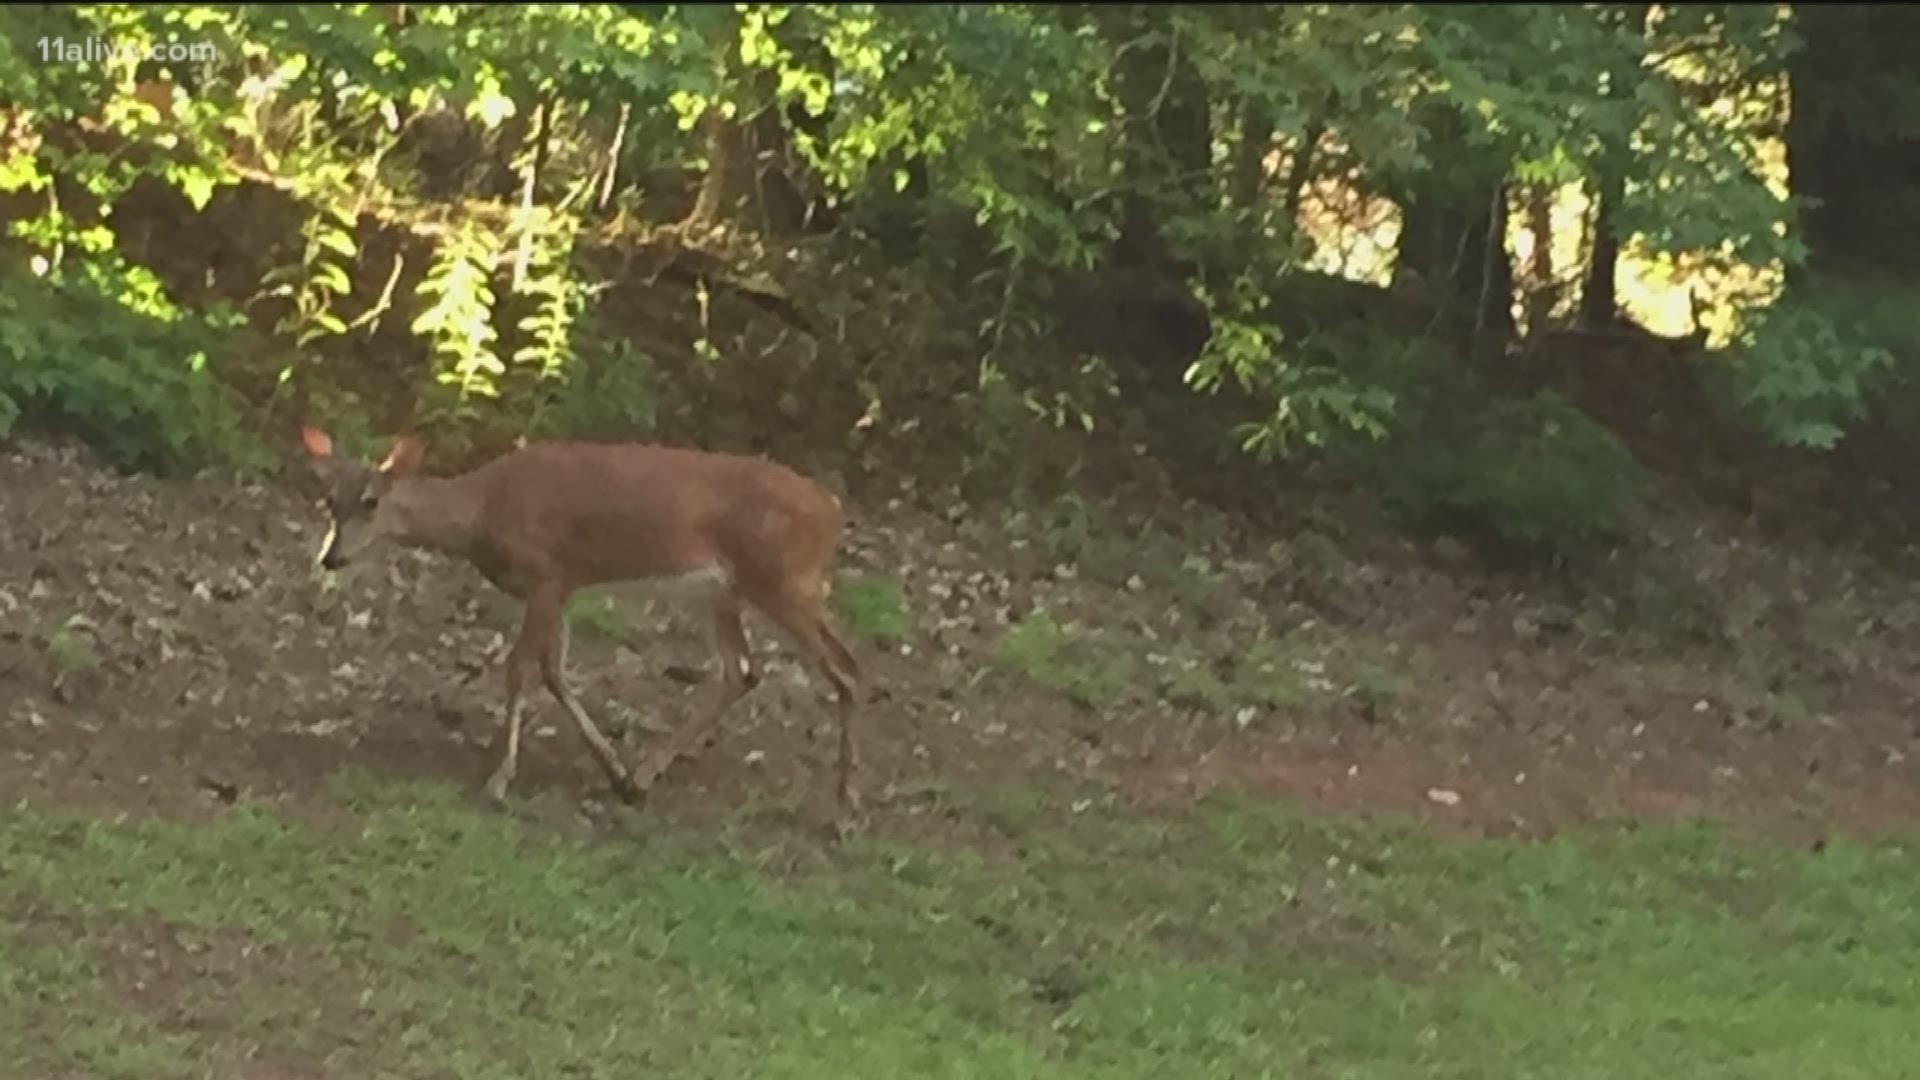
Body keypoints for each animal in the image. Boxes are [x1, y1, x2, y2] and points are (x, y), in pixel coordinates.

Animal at [296, 425, 868, 824]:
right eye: (329, 501)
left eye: (371, 501)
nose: (331, 557)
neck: (482, 512)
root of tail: (833, 513)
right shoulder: (564, 587)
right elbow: (554, 672)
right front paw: (614, 770)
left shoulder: (547, 574)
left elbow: (520, 668)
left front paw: (499, 779)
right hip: (727, 591)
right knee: (747, 670)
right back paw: (645, 776)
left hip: (781, 582)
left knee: (844, 670)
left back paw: (843, 809)